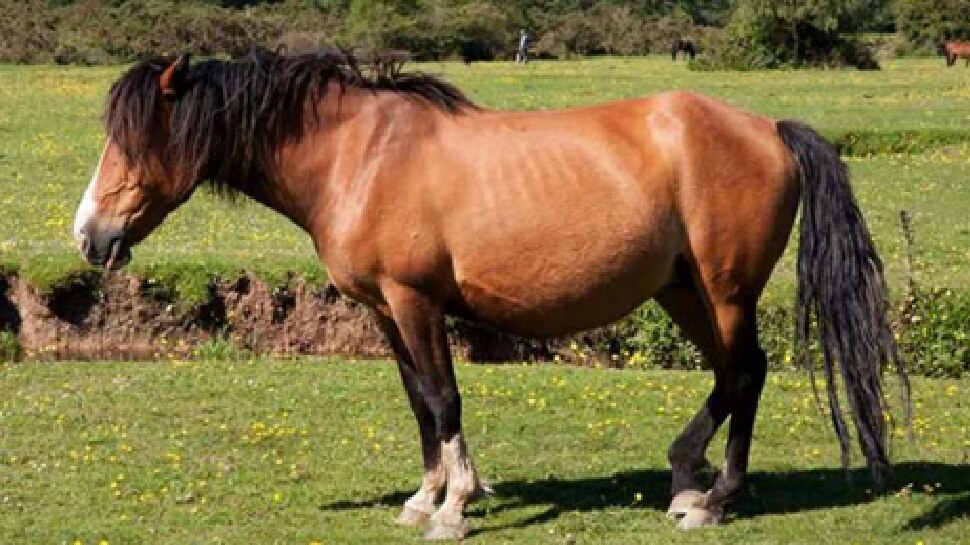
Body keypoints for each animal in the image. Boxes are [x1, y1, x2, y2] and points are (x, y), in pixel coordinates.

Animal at [73, 50, 905, 539]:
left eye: (136, 140)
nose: (90, 235)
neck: (357, 156)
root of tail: (766, 126)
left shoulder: (415, 300)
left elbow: (445, 399)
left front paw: (455, 505)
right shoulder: (385, 310)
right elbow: (419, 402)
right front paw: (424, 495)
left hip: (728, 290)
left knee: (745, 373)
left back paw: (713, 497)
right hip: (682, 291)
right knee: (731, 375)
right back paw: (685, 477)